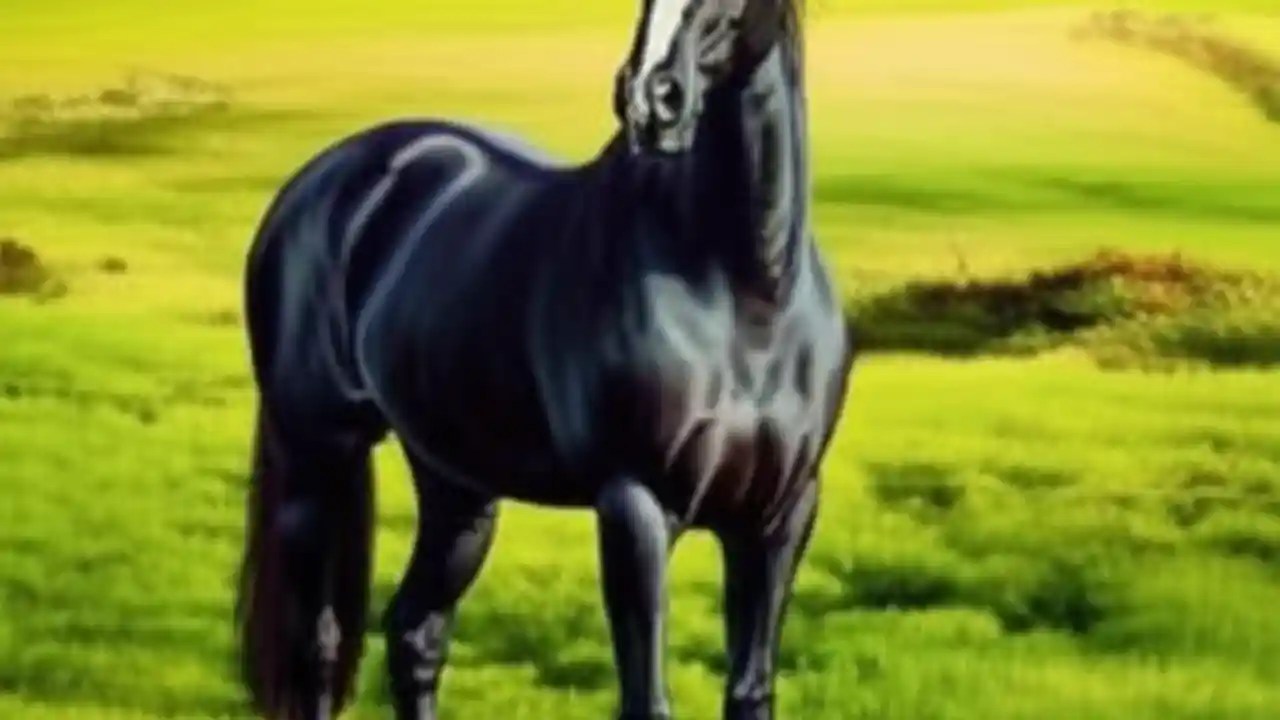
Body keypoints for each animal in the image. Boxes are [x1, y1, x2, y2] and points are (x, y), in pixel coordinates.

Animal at [236, 0, 854, 718]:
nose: (652, 100)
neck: (743, 293)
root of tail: (313, 185)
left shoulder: (780, 517)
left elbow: (751, 690)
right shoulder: (635, 505)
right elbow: (646, 697)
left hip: (456, 487)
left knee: (415, 633)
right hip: (316, 461)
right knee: (320, 645)